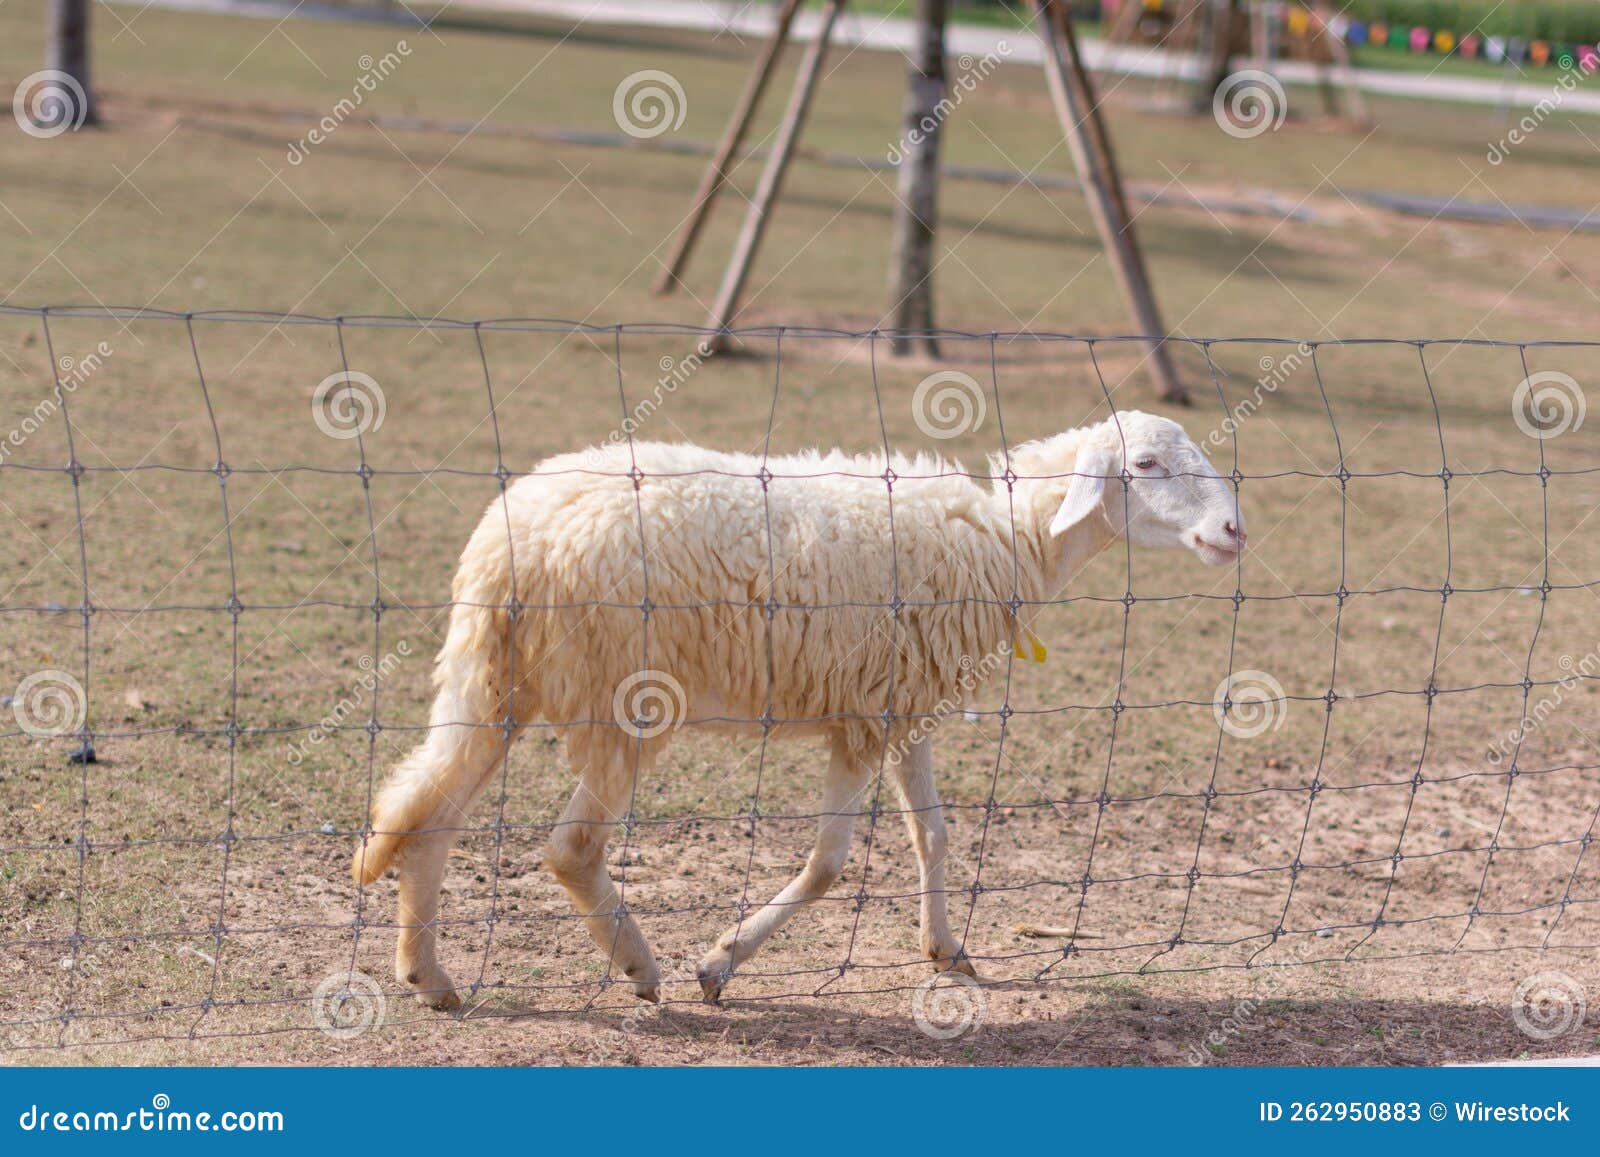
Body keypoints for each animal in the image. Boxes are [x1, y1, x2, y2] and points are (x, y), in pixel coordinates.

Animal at [350, 409, 1245, 1009]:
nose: (1235, 529)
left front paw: (945, 948)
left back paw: (429, 977)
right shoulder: (861, 721)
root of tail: (512, 547)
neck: (1010, 541)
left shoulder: (903, 709)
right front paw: (721, 960)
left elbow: (933, 834)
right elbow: (829, 864)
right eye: (1147, 462)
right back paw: (641, 965)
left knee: (427, 812)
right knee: (570, 847)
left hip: (492, 683)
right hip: (621, 702)